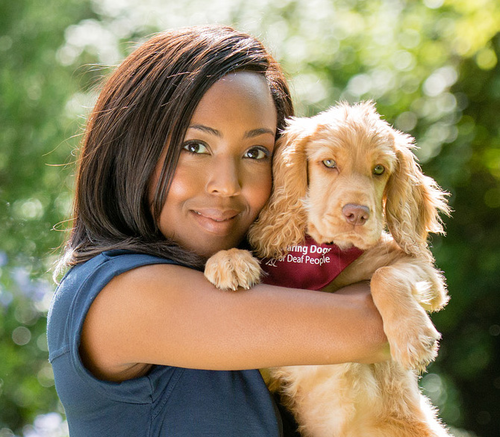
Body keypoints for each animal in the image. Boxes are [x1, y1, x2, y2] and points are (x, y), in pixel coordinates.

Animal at [205, 100, 452, 434]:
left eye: (379, 170)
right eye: (329, 163)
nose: (357, 214)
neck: (322, 255)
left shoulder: (428, 276)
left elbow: (384, 274)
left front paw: (413, 337)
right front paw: (229, 259)